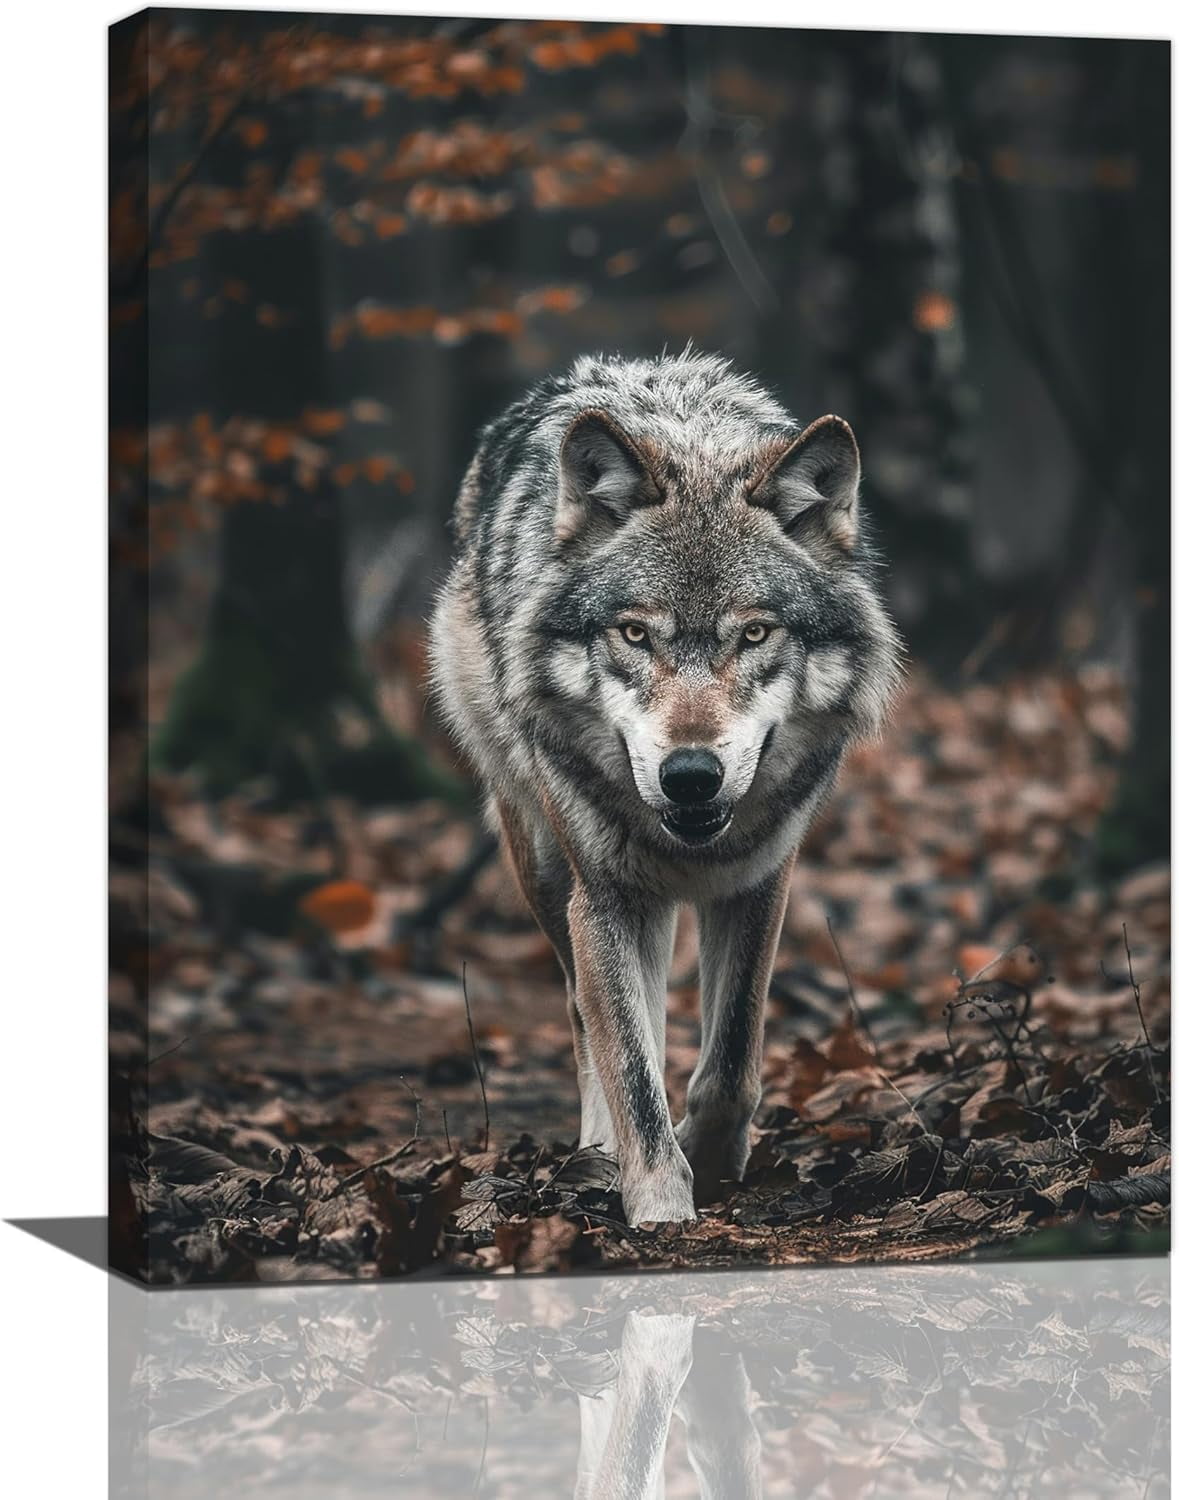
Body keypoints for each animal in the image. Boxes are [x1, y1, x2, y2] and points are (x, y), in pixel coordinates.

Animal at [429, 350, 902, 1226]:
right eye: (633, 633)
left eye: (754, 633)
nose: (689, 776)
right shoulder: (604, 896)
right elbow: (631, 1066)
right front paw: (657, 1201)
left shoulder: (760, 881)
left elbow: (731, 1061)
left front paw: (710, 1163)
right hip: (544, 866)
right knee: (586, 1015)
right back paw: (599, 1149)